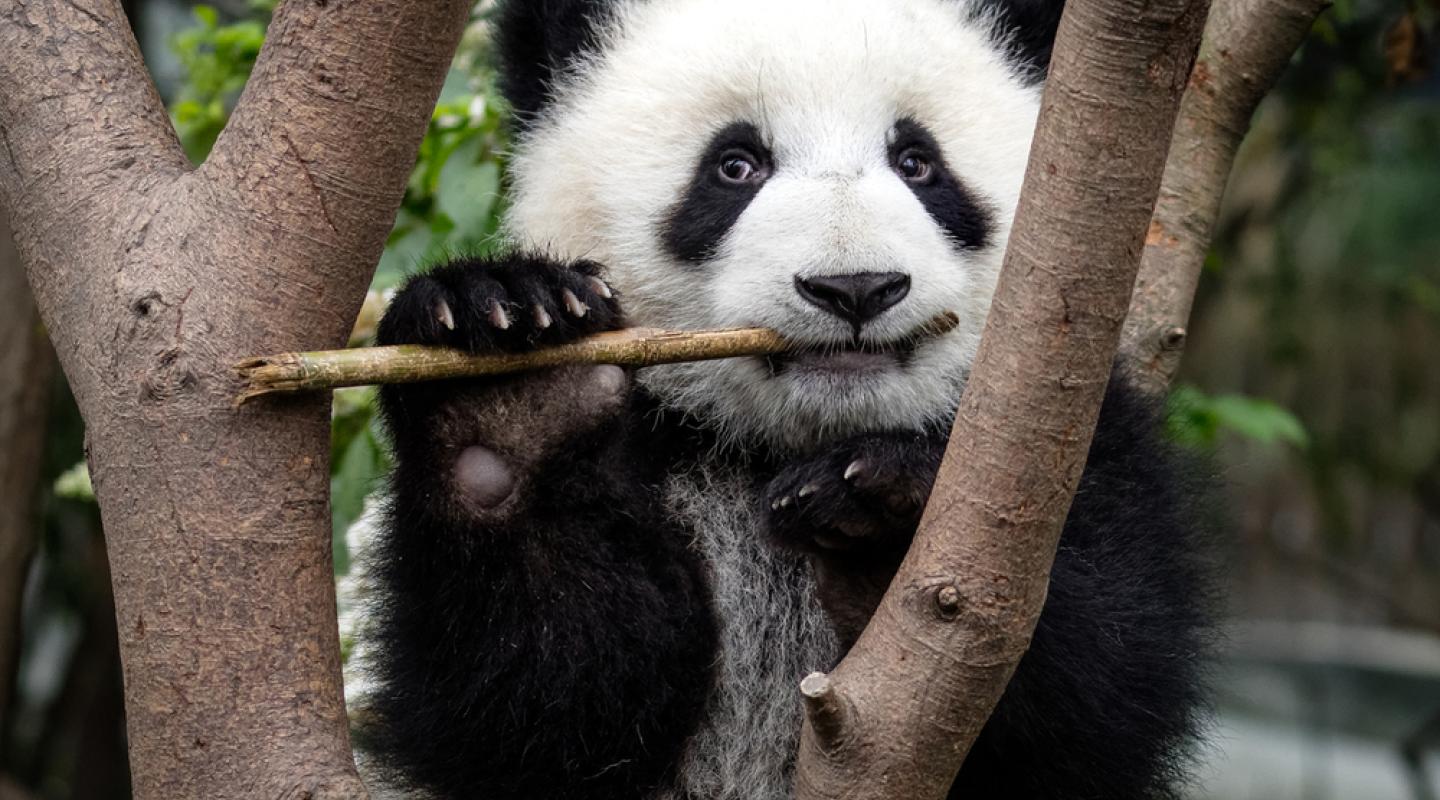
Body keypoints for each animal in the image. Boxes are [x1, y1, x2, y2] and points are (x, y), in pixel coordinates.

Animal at [357, 0, 1214, 798]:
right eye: (736, 166)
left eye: (917, 162)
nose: (856, 287)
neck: (786, 442)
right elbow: (540, 705)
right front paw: (516, 393)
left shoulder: (1072, 438)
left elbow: (1102, 686)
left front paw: (882, 516)